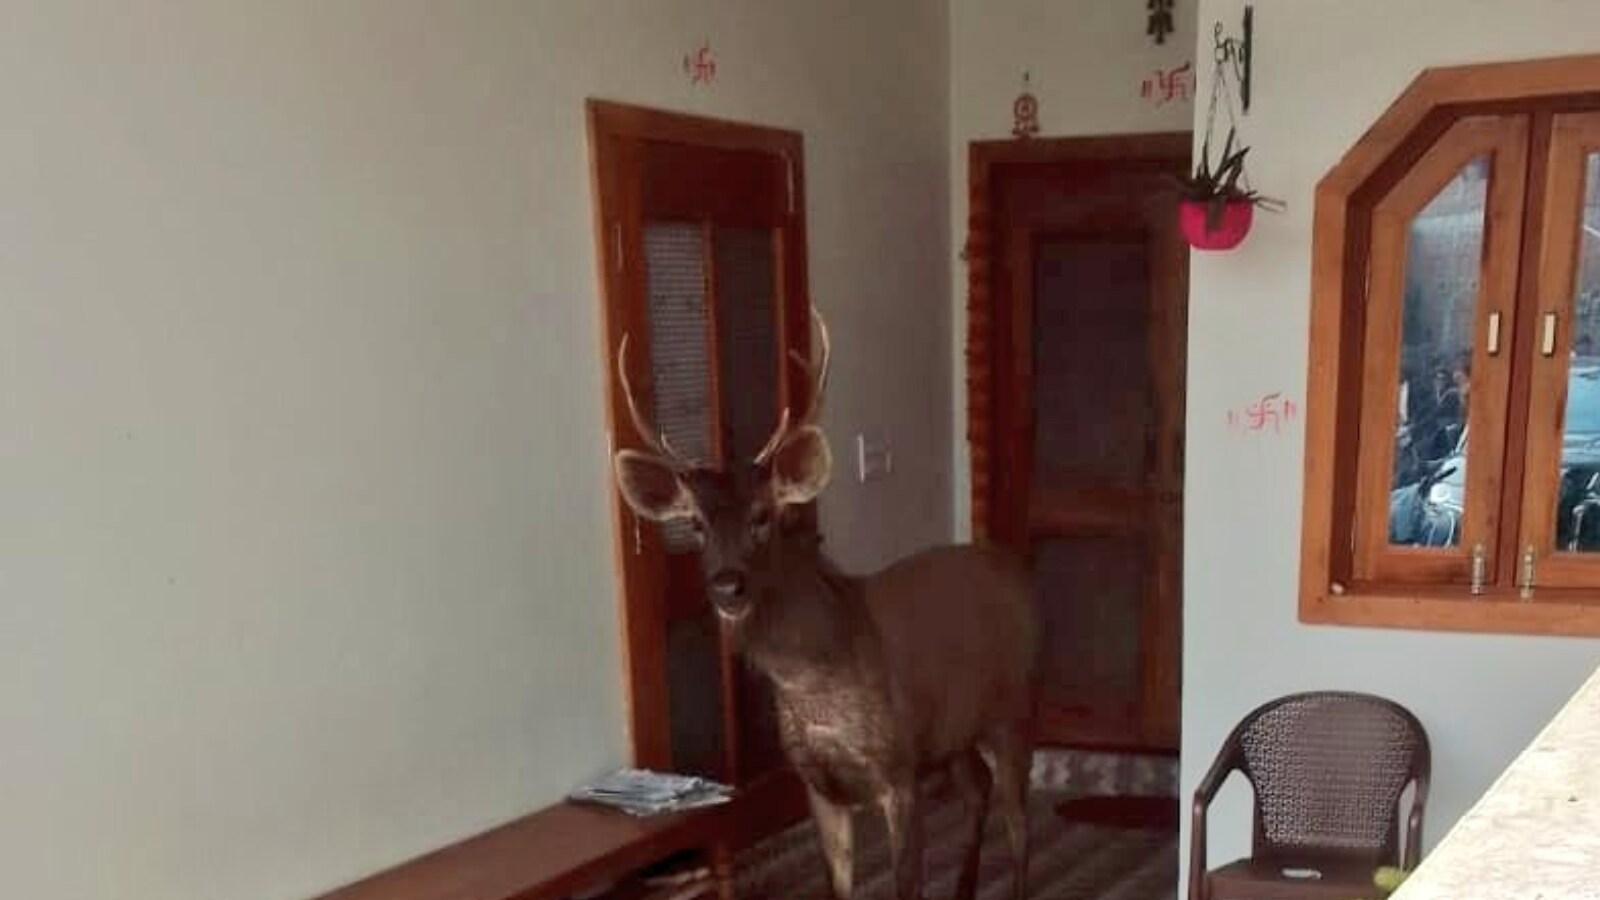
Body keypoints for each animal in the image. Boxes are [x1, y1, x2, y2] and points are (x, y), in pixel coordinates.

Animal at [609, 308, 1038, 900]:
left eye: (763, 516)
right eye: (695, 524)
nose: (727, 585)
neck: (816, 681)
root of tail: (1017, 572)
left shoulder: (898, 767)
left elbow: (907, 885)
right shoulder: (819, 783)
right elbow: (837, 885)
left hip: (1015, 706)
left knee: (1020, 826)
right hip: (955, 730)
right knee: (977, 790)